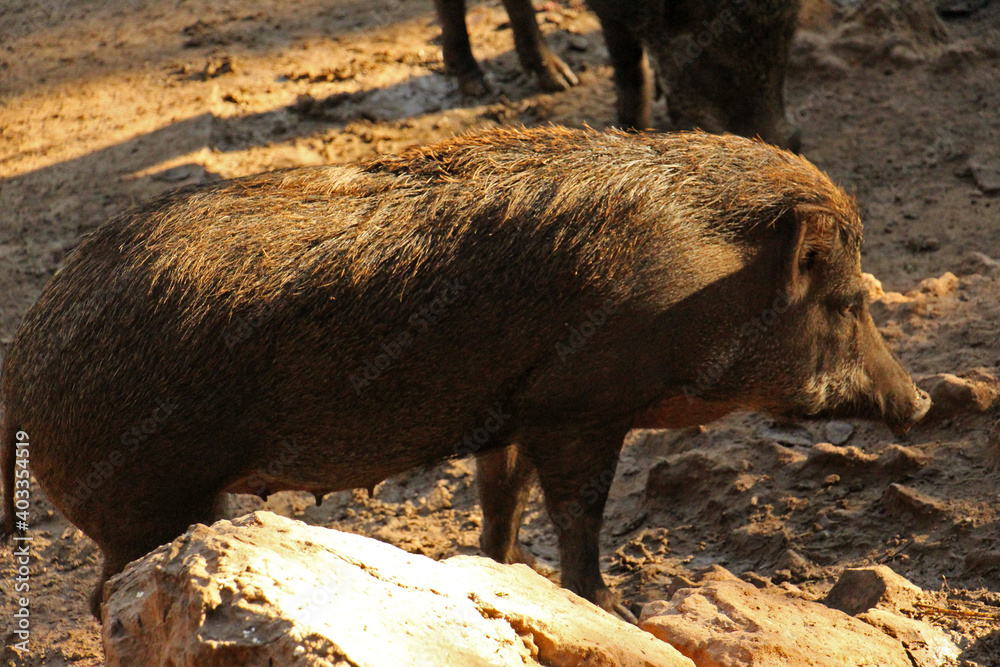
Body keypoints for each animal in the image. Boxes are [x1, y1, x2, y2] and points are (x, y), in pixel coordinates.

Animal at [0, 126, 929, 620]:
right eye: (848, 301)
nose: (919, 399)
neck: (700, 281)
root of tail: (24, 356)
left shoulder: (512, 412)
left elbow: (501, 503)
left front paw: (505, 576)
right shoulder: (578, 409)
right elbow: (581, 517)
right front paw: (617, 610)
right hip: (147, 499)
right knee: (107, 597)